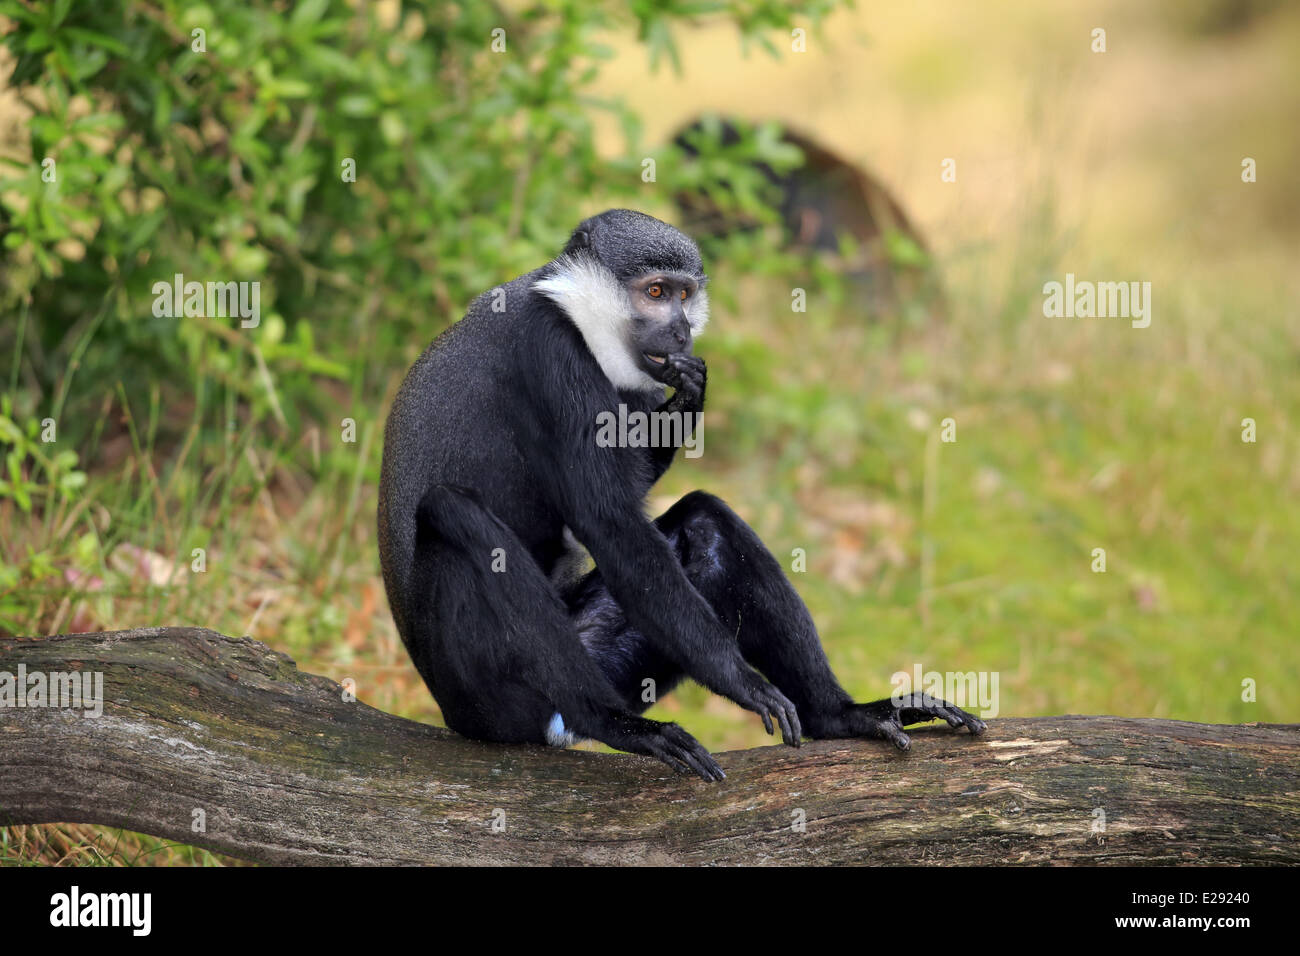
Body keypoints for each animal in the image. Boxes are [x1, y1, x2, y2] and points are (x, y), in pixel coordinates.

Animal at [377, 208, 985, 781]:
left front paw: (690, 397)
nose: (681, 331)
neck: (572, 308)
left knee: (705, 522)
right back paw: (613, 723)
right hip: (492, 693)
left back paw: (841, 716)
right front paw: (742, 682)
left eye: (685, 295)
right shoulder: (550, 349)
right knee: (454, 511)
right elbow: (609, 521)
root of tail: (452, 711)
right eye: (655, 293)